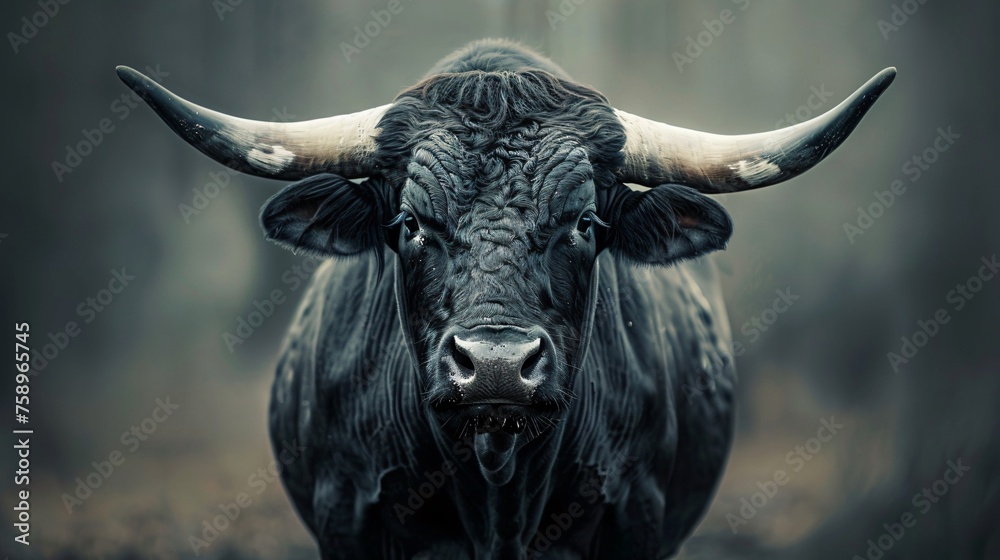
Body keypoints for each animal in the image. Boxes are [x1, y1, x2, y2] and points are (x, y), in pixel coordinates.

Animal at [117, 39, 894, 559]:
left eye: (584, 223)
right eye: (410, 224)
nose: (494, 365)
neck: (497, 486)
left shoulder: (635, 518)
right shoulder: (348, 517)